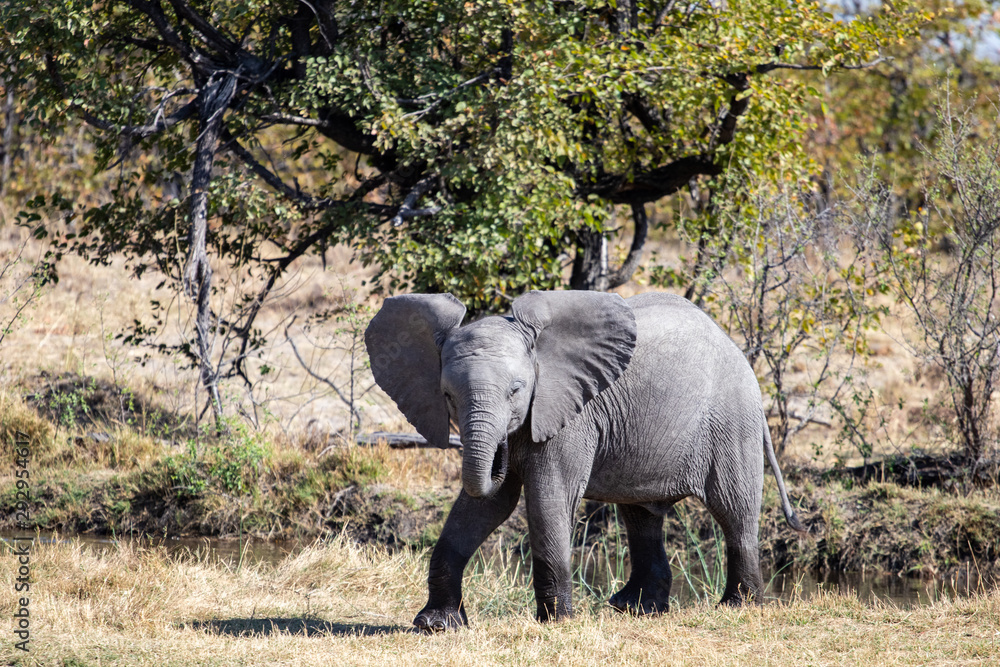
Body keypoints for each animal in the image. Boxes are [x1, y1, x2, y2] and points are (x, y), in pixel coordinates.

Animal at [365, 290, 805, 631]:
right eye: (448, 396)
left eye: (516, 391)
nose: (501, 456)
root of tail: (735, 347)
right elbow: (484, 507)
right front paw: (436, 624)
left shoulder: (570, 414)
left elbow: (547, 498)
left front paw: (556, 622)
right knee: (642, 515)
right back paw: (635, 608)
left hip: (732, 421)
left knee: (733, 510)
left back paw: (738, 606)